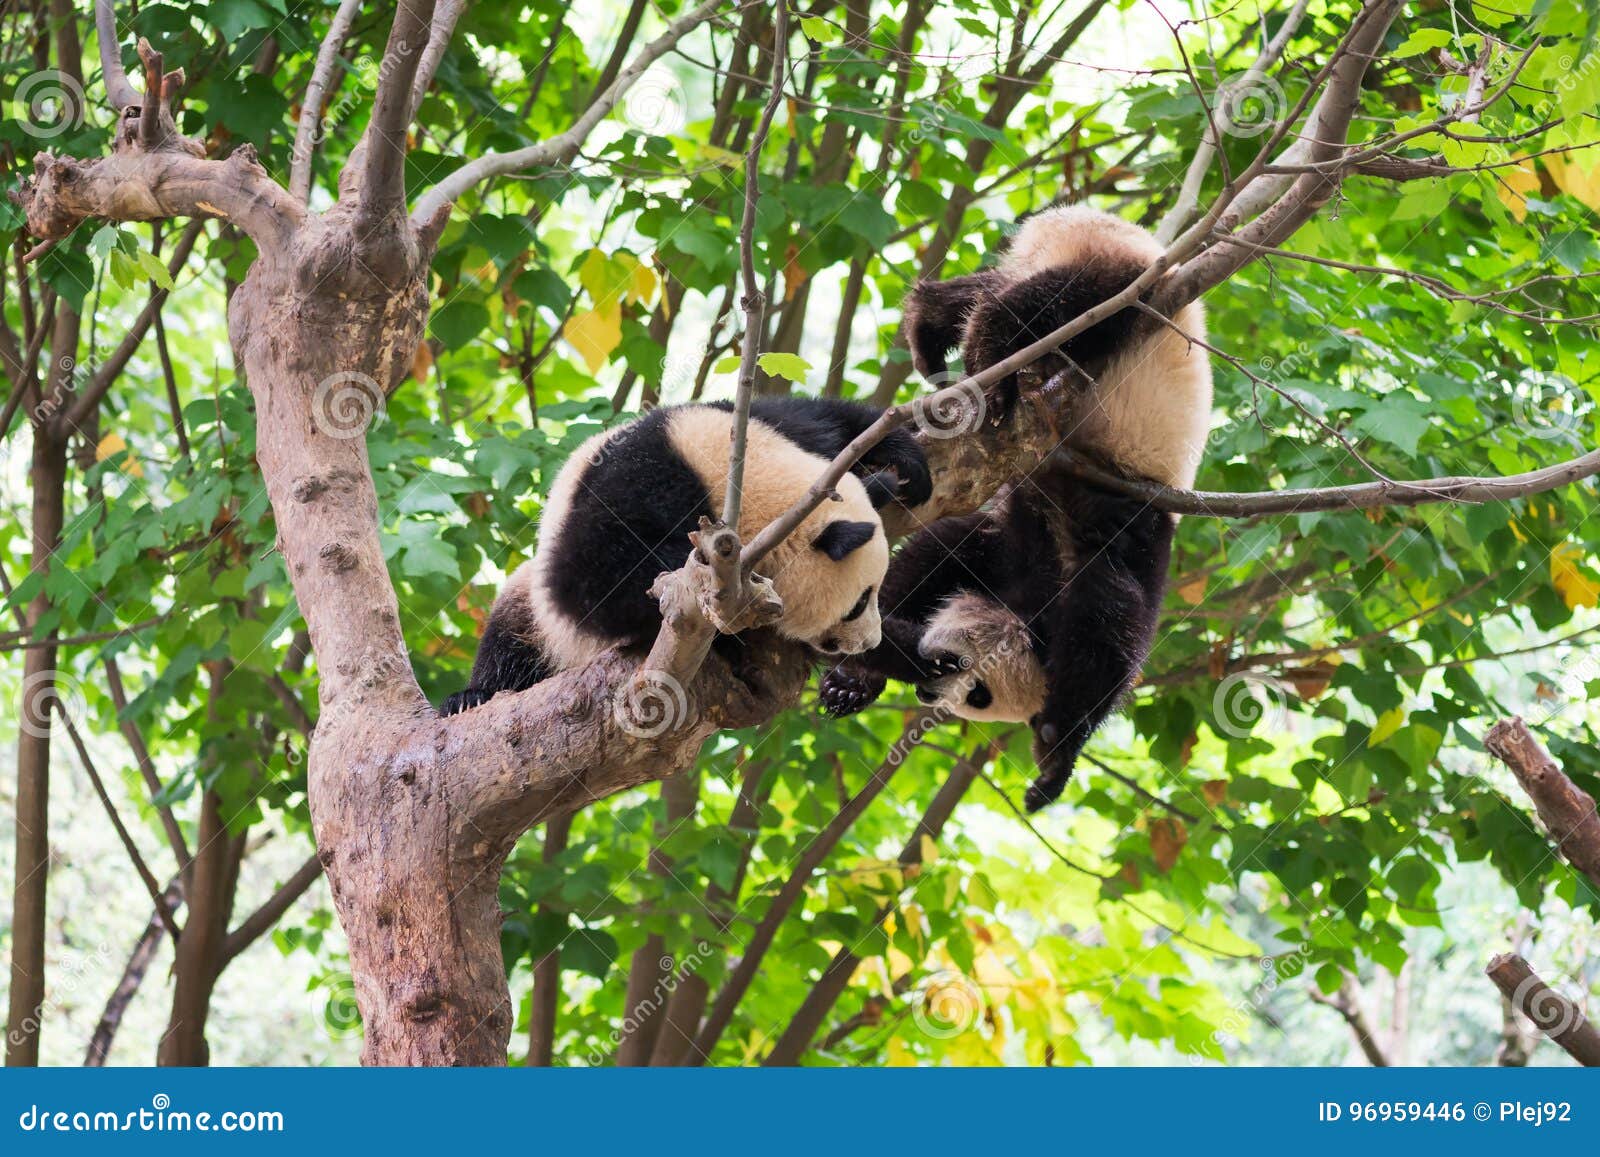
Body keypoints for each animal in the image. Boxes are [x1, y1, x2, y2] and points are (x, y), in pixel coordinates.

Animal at [442, 397, 932, 714]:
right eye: (858, 603)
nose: (869, 641)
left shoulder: (757, 421)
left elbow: (828, 417)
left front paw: (902, 466)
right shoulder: (629, 494)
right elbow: (589, 585)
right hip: (539, 619)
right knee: (512, 636)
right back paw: (469, 696)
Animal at [819, 205, 1212, 811]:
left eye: (975, 696)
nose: (928, 685)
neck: (1036, 605)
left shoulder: (1046, 544)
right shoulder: (1097, 532)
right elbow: (1109, 626)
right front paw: (1055, 758)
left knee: (990, 288)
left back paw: (930, 326)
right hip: (1130, 285)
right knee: (1049, 306)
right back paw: (983, 360)